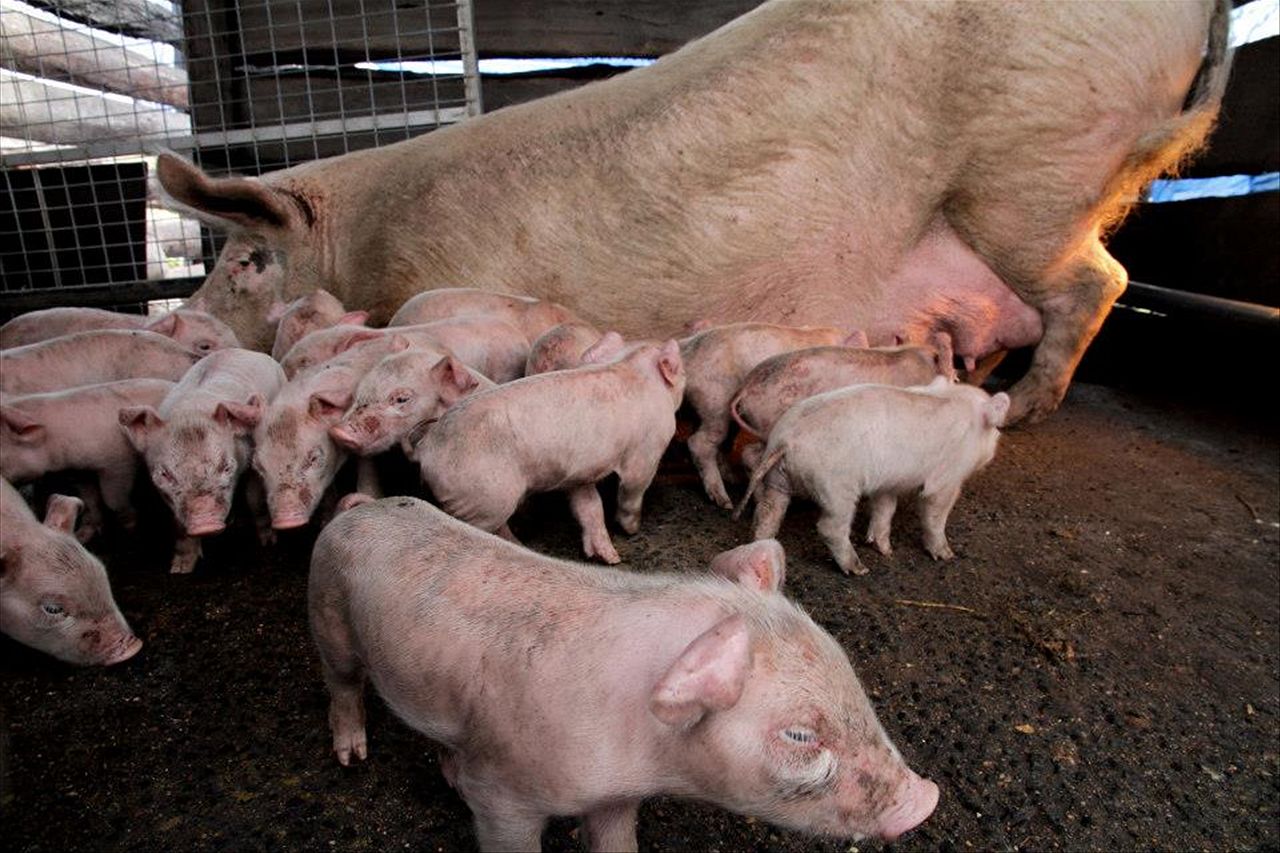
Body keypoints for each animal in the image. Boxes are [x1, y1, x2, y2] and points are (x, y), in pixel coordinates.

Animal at [1, 379, 176, 540]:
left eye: (1, 456)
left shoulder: (119, 463)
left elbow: (113, 501)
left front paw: (130, 530)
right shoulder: (80, 472)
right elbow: (90, 500)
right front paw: (82, 536)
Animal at [119, 349, 285, 573]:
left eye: (226, 467)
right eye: (165, 474)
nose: (204, 522)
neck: (191, 412)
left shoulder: (252, 462)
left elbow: (255, 500)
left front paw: (269, 542)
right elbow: (179, 527)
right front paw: (179, 570)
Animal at [309, 498, 938, 849]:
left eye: (853, 683)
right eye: (800, 735)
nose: (926, 798)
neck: (645, 758)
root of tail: (358, 507)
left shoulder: (614, 798)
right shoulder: (502, 790)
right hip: (330, 618)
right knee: (342, 685)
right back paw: (351, 757)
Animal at [413, 341, 684, 564]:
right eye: (681, 370)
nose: (684, 373)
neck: (632, 367)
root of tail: (427, 448)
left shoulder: (576, 475)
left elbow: (589, 507)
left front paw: (609, 558)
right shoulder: (647, 451)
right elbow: (632, 490)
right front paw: (631, 529)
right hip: (482, 497)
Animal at [735, 377, 1010, 575]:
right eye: (996, 427)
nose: (999, 438)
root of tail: (786, 439)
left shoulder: (888, 484)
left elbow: (884, 510)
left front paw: (885, 550)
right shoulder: (947, 479)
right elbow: (935, 514)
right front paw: (946, 555)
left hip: (778, 478)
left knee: (768, 511)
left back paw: (762, 545)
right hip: (836, 486)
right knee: (829, 527)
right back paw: (859, 570)